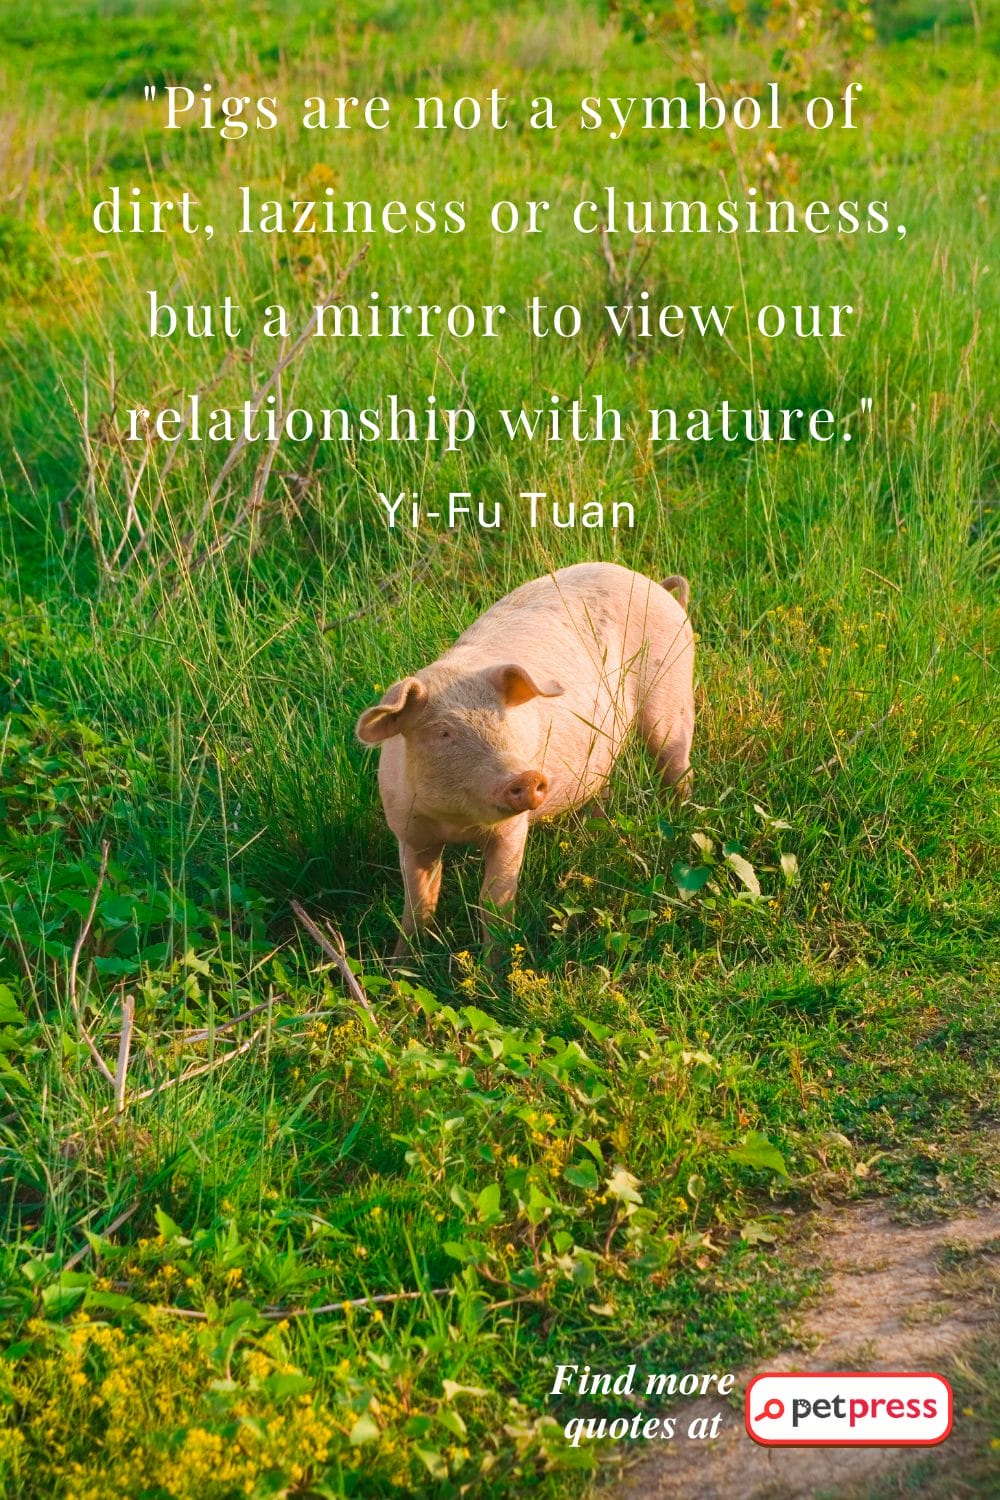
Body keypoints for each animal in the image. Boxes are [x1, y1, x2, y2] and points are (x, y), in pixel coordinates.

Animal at [355, 562, 694, 954]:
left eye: (504, 718)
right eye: (442, 732)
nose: (525, 776)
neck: (457, 822)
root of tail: (655, 586)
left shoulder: (513, 829)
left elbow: (494, 901)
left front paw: (495, 970)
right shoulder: (409, 829)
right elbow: (418, 904)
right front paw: (402, 963)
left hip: (672, 692)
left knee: (676, 763)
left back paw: (683, 819)